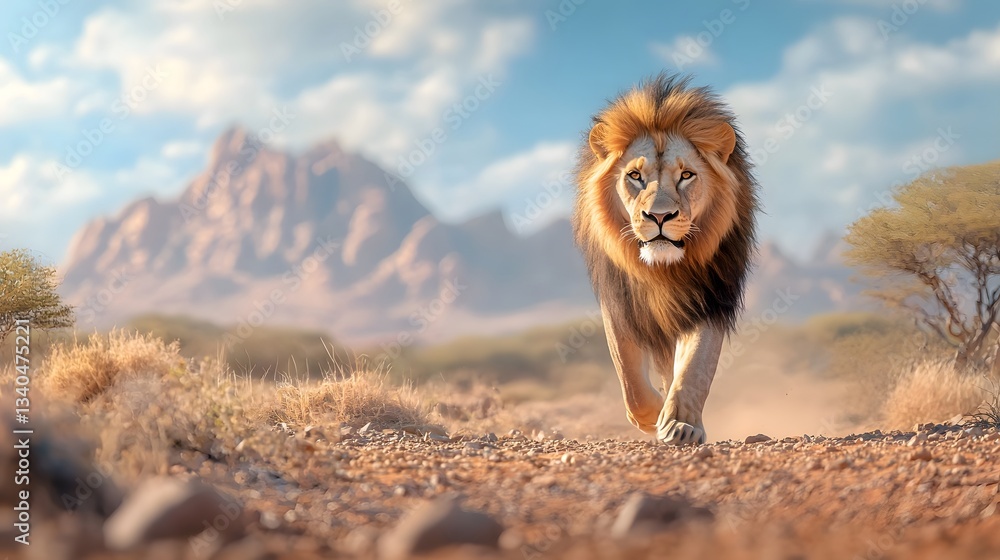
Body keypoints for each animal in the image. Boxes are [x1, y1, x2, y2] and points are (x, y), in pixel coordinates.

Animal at [572, 74, 758, 445]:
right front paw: (652, 413)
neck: (663, 270)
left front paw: (680, 424)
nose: (659, 216)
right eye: (635, 176)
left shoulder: (710, 298)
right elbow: (629, 377)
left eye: (686, 175)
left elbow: (695, 367)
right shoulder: (620, 302)